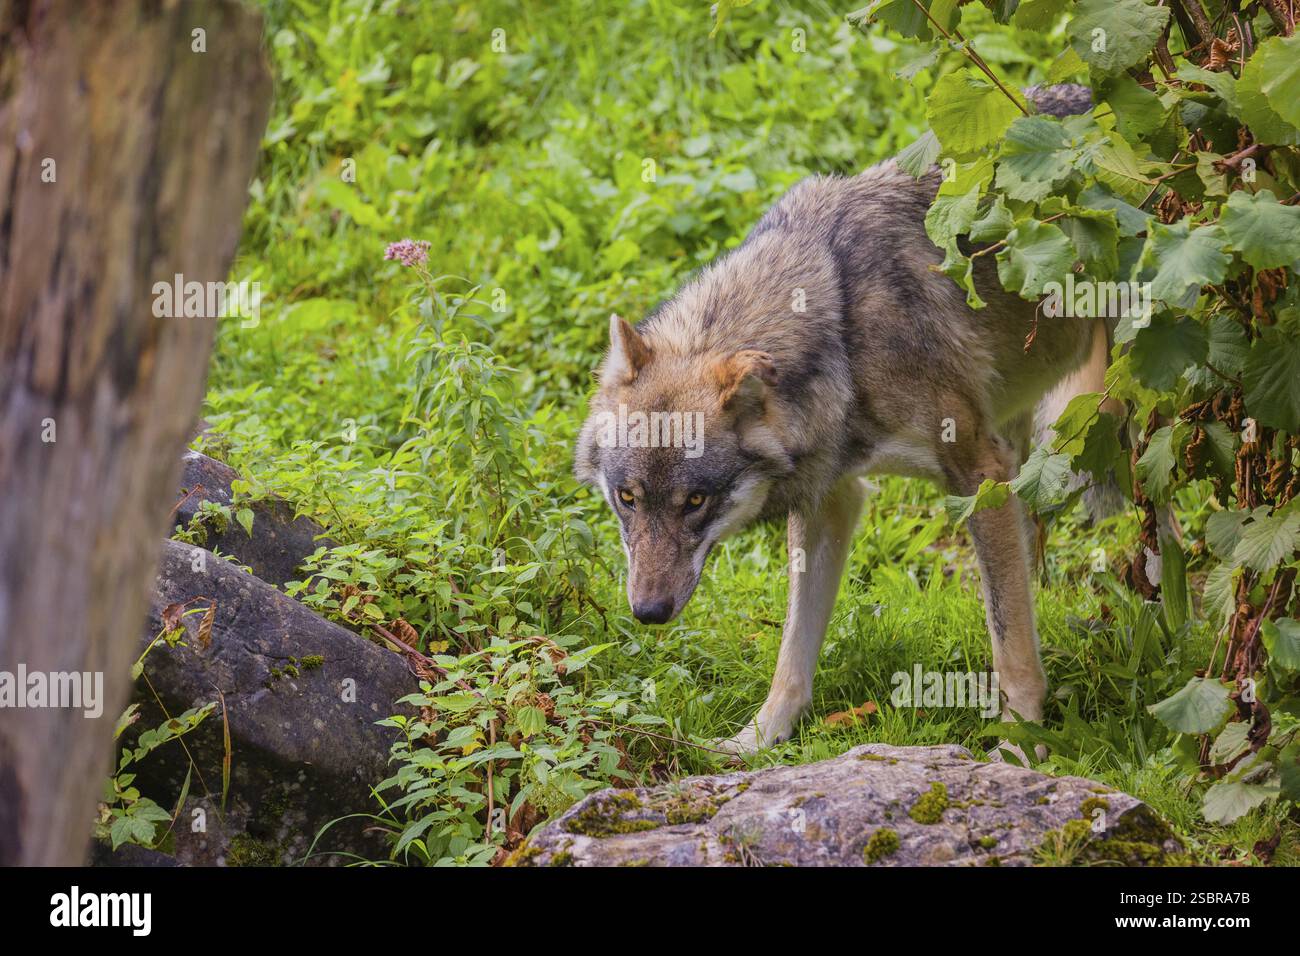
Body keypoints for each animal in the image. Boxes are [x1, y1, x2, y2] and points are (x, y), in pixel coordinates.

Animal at [575, 101, 1107, 755]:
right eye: (627, 498)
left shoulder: (980, 472)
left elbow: (1009, 638)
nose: (647, 612)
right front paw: (759, 738)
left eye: (695, 501)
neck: (843, 333)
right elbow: (794, 648)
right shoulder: (832, 497)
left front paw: (1021, 742)